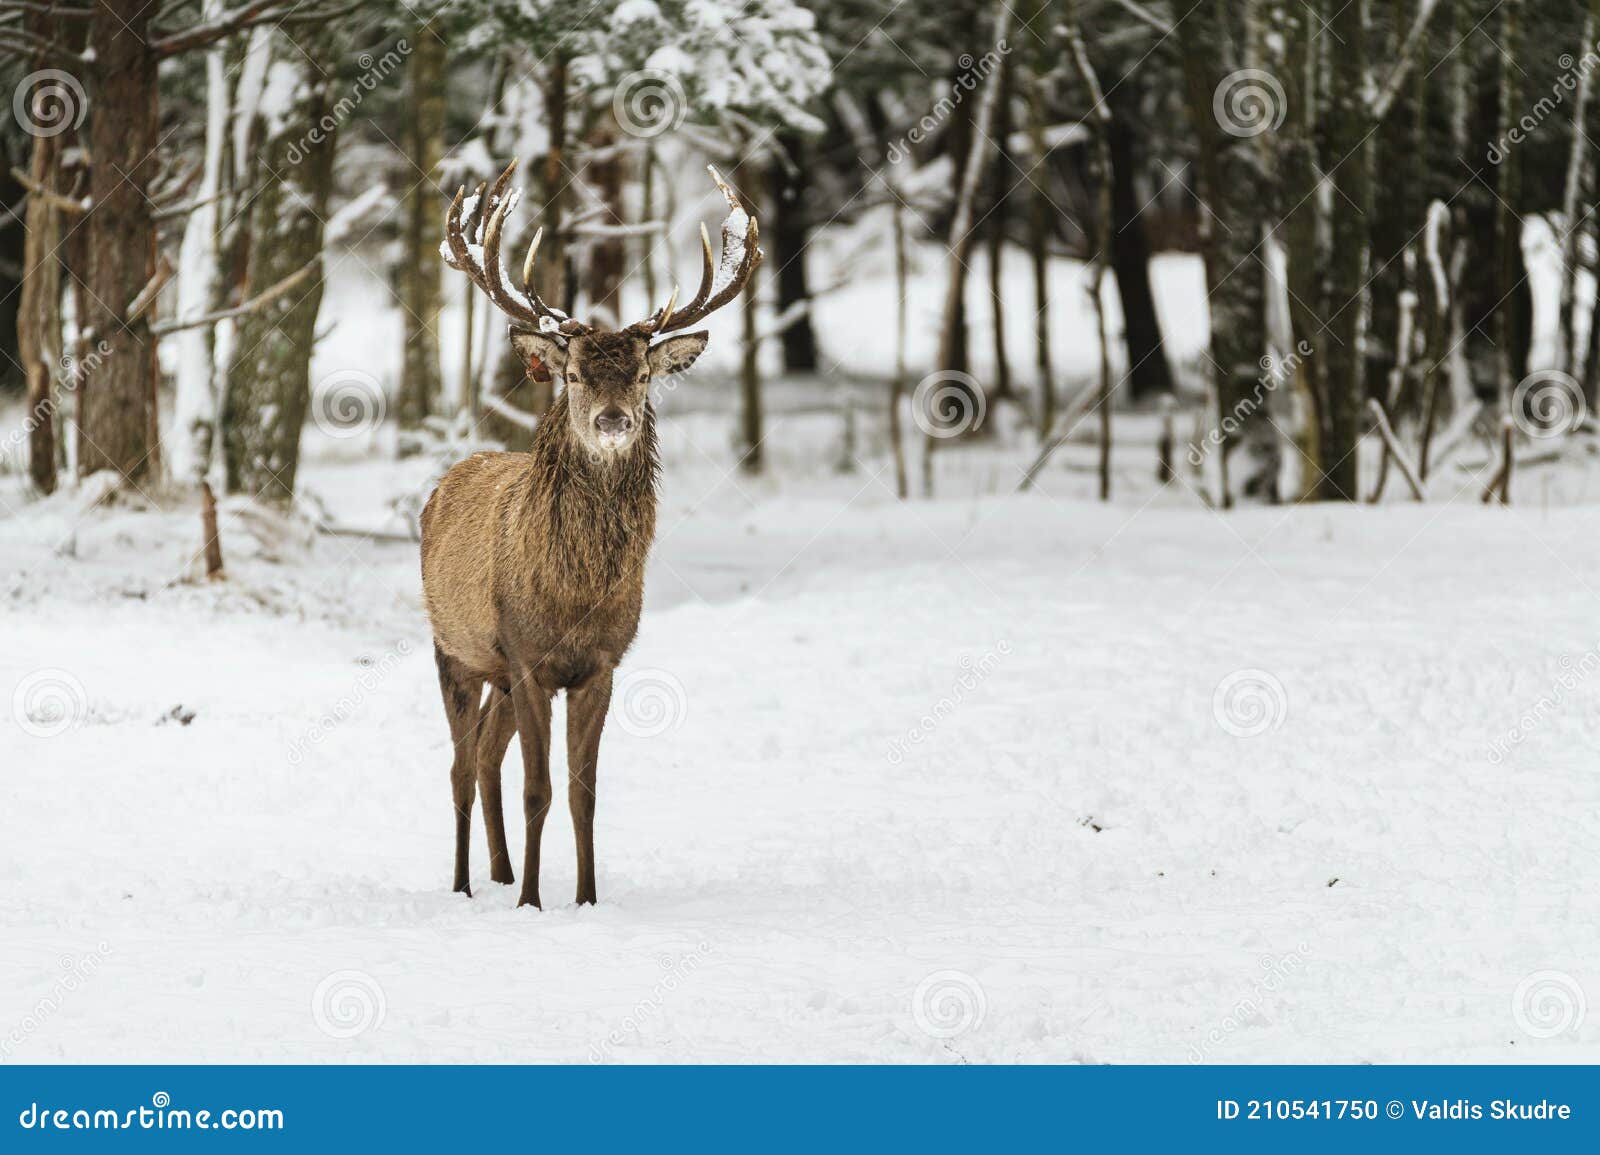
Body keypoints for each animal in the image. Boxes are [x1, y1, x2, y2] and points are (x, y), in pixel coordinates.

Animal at [419, 161, 760, 909]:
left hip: (498, 675)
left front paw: (584, 898)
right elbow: (538, 788)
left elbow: (584, 793)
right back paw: (464, 884)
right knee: (459, 765)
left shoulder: (600, 663)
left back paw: (501, 871)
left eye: (641, 374)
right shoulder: (526, 656)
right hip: (455, 650)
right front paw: (532, 903)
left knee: (484, 753)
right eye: (574, 374)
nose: (611, 419)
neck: (573, 594)